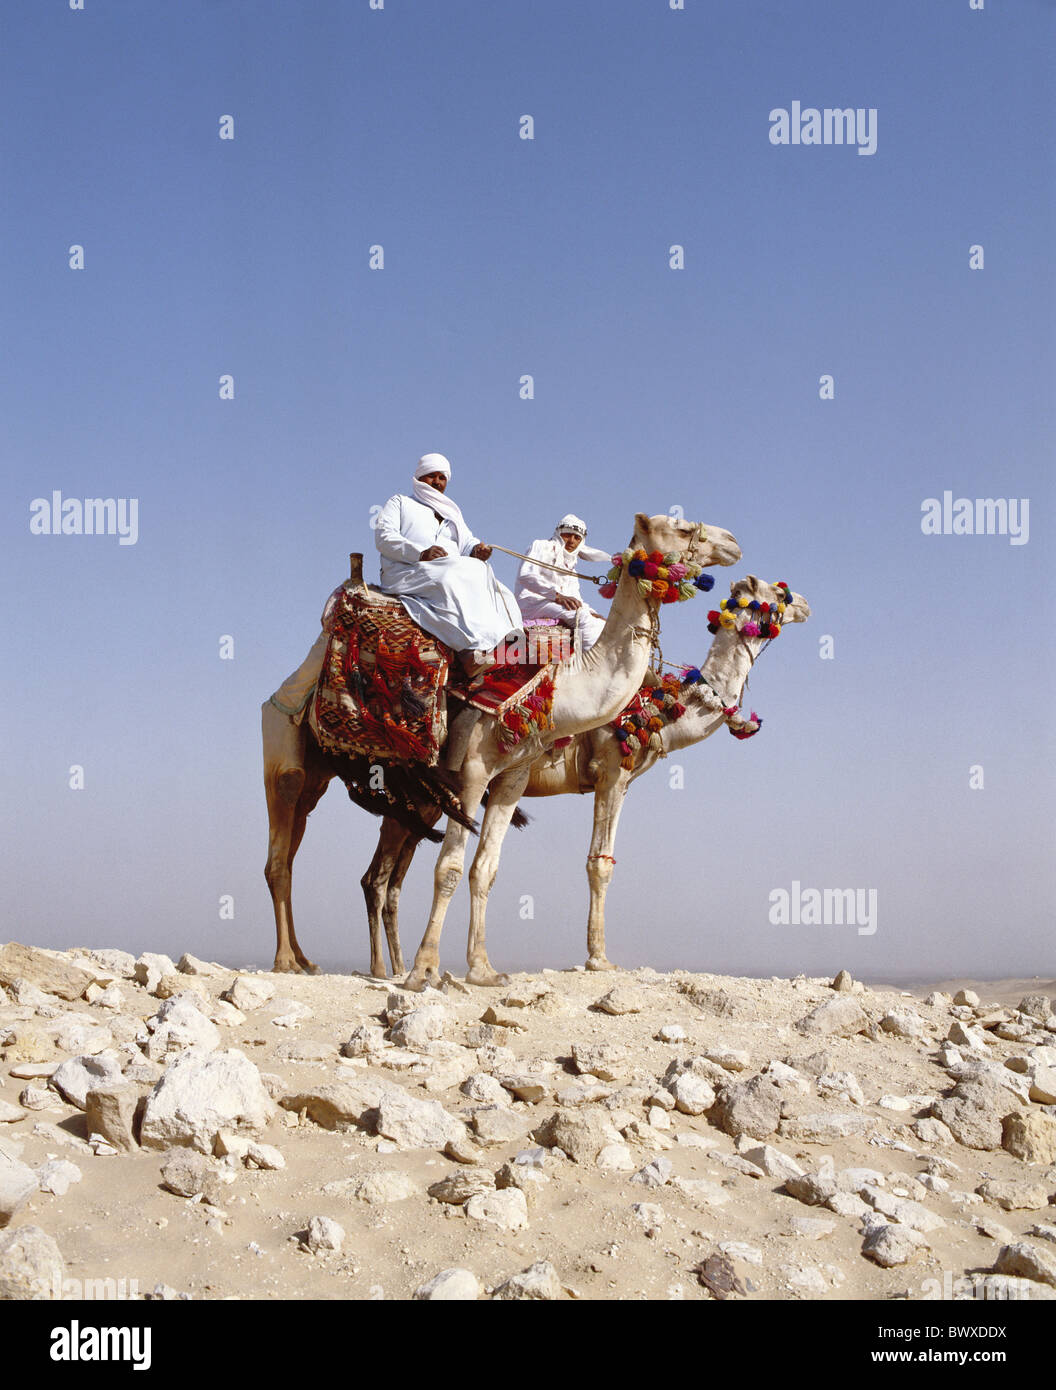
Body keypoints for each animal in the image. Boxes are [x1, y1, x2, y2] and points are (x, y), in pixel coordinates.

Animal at [262, 512, 741, 978]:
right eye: (680, 526)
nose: (733, 542)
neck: (556, 686)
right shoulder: (478, 773)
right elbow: (451, 869)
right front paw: (426, 969)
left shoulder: (513, 777)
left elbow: (485, 870)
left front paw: (481, 969)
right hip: (283, 747)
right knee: (282, 856)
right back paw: (291, 961)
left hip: (367, 786)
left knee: (325, 853)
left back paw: (312, 961)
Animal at [361, 575, 809, 978]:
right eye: (778, 593)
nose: (805, 603)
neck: (660, 710)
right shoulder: (612, 773)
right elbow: (600, 863)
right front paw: (598, 958)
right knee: (378, 878)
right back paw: (387, 969)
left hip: (426, 800)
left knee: (388, 877)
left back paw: (396, 967)